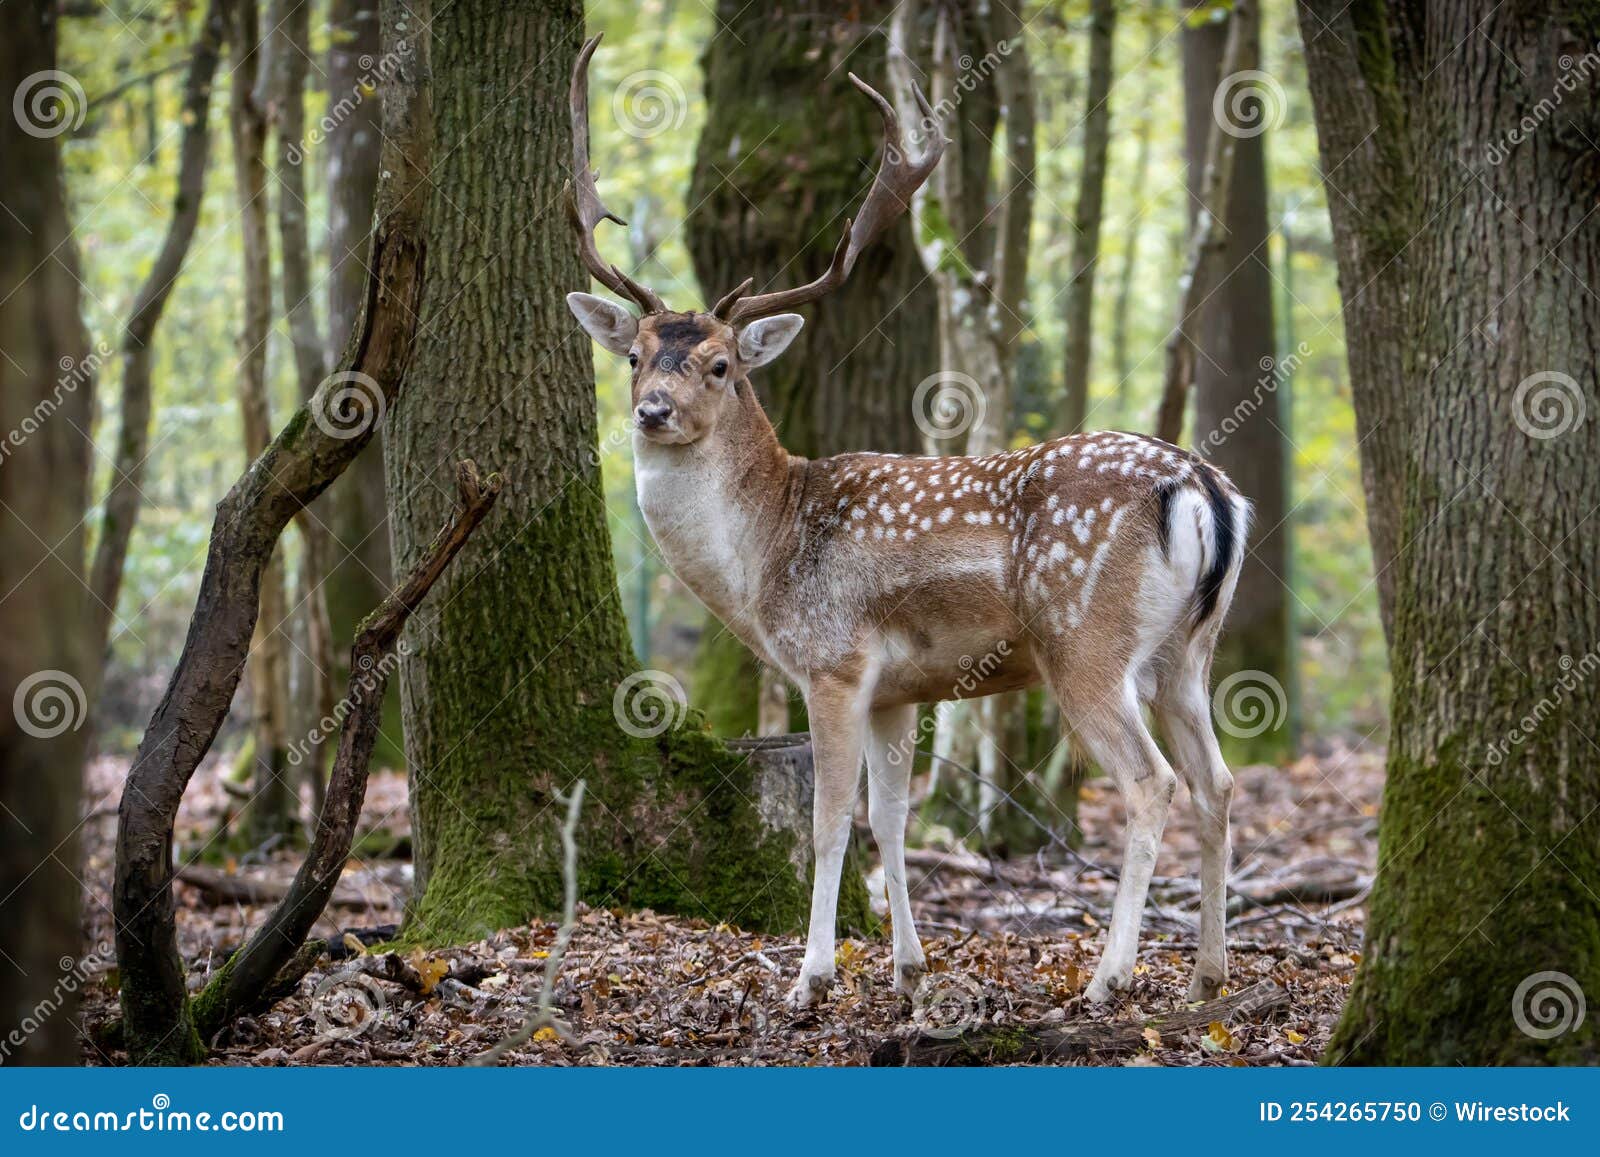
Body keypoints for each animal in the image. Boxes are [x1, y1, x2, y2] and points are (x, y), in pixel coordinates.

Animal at [563, 35, 1251, 1009]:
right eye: (634, 356)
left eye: (722, 364)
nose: (653, 411)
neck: (767, 552)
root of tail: (1200, 486)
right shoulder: (898, 688)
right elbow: (889, 821)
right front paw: (907, 968)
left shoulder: (833, 660)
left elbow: (828, 824)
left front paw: (810, 977)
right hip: (1187, 652)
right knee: (1218, 783)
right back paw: (1207, 972)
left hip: (1084, 638)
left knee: (1152, 783)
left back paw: (1108, 976)